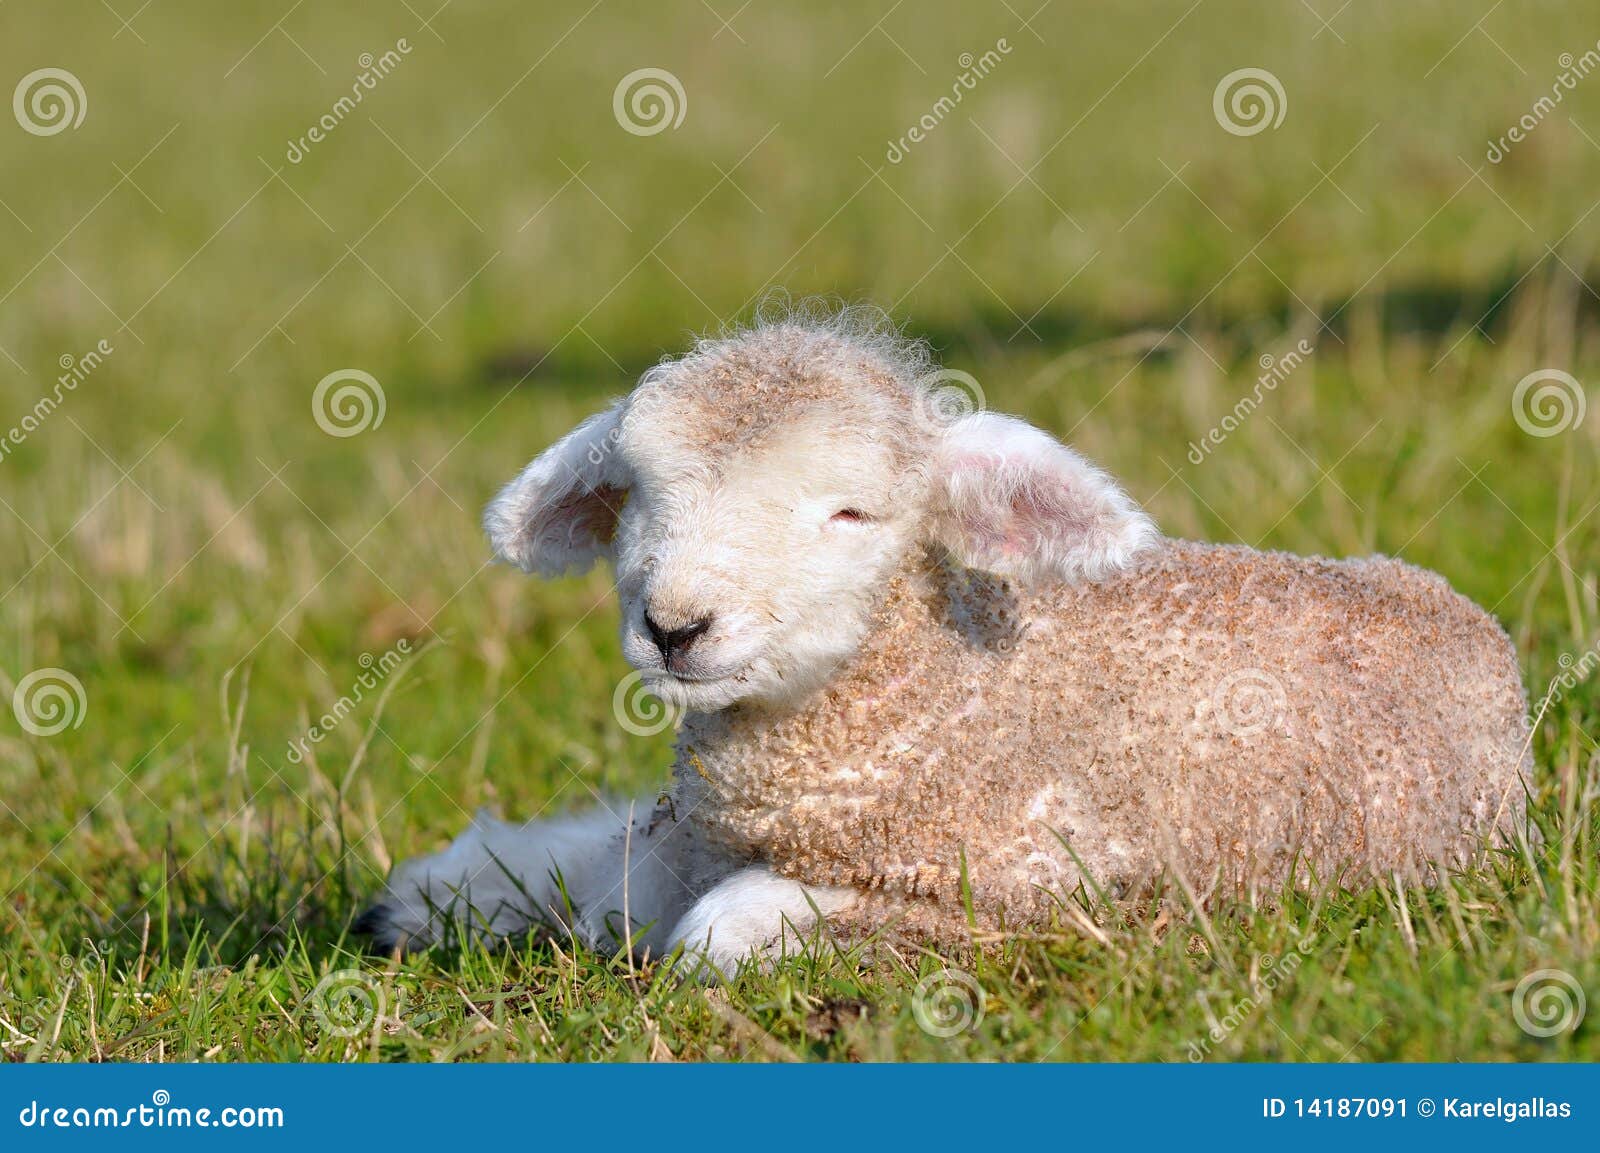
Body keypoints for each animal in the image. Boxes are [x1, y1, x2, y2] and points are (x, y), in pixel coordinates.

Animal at [358, 305, 1533, 975]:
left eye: (852, 512)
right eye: (636, 494)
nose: (675, 626)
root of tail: (1461, 613)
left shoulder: (1030, 876)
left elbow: (707, 932)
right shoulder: (683, 833)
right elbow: (608, 880)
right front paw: (435, 896)